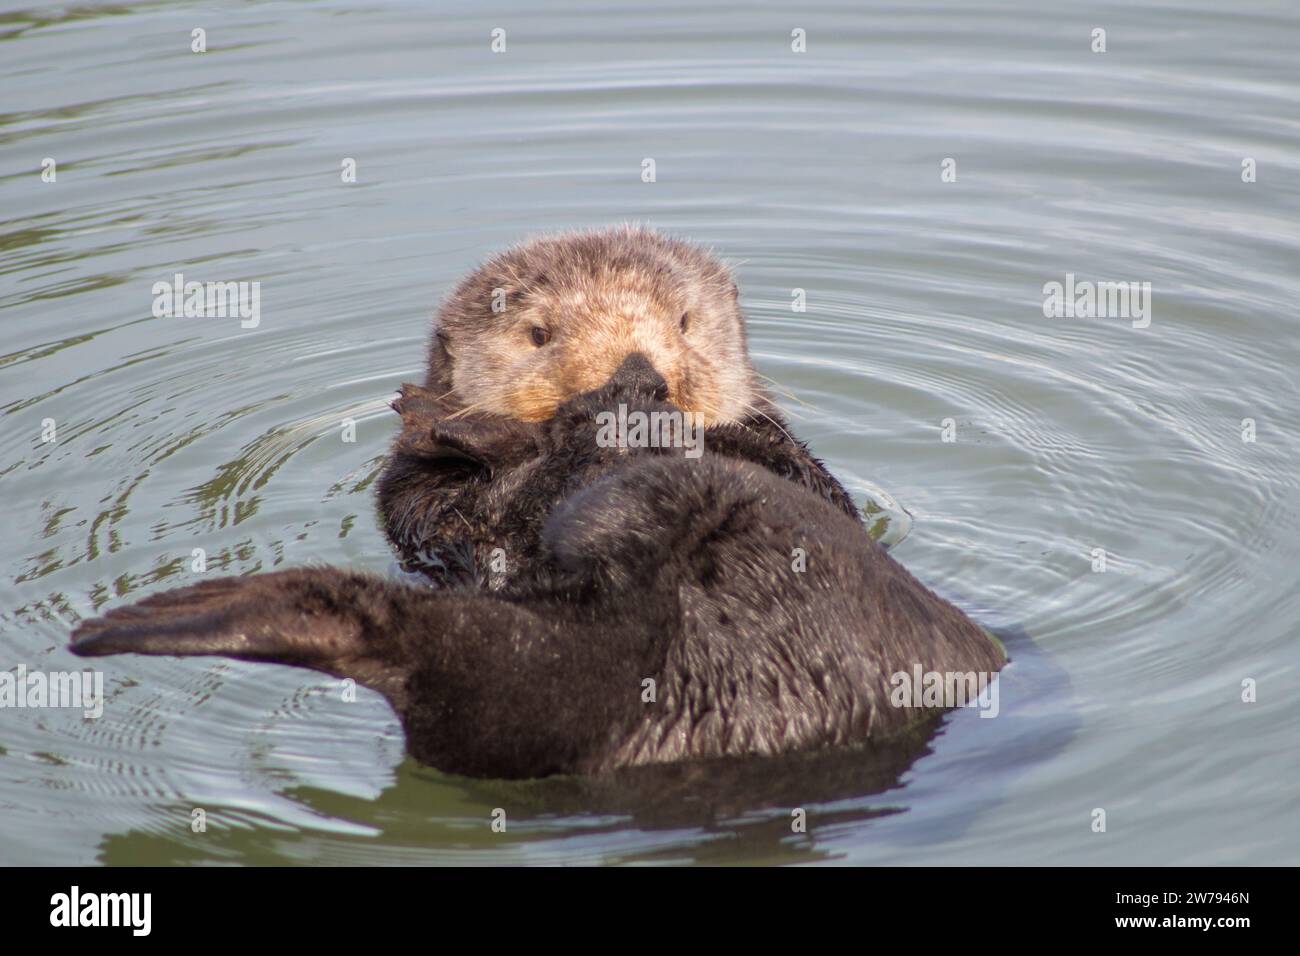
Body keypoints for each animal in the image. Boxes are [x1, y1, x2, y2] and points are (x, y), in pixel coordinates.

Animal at [70, 226, 1005, 780]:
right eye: (538, 334)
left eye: (686, 321)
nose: (637, 361)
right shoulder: (420, 498)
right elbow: (454, 512)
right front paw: (553, 420)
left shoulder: (802, 471)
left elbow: (802, 472)